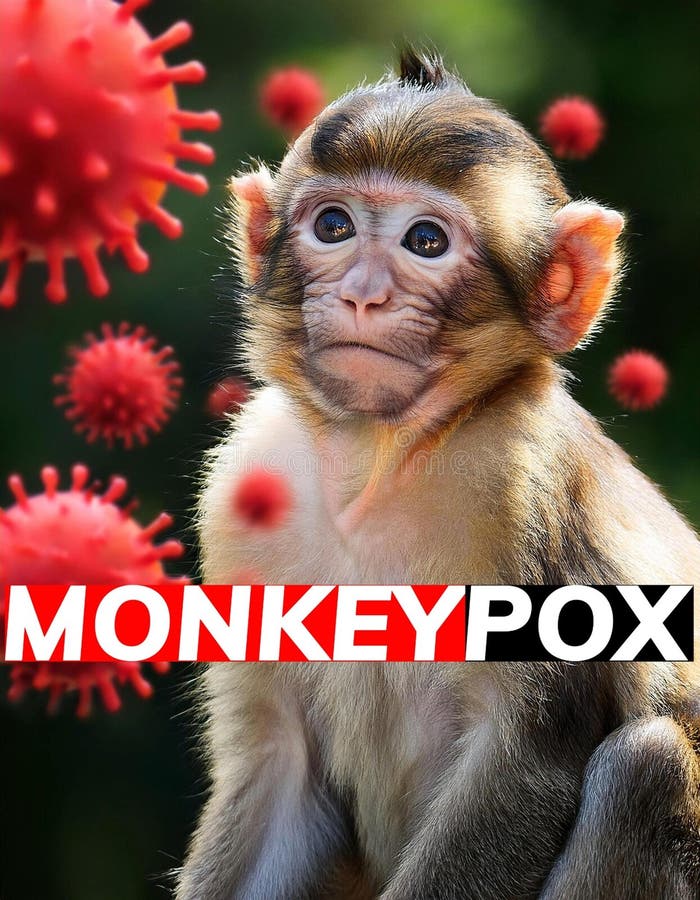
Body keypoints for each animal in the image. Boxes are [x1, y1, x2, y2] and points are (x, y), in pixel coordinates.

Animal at [177, 49, 700, 900]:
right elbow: (278, 770)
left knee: (647, 767)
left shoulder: (523, 492)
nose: (363, 295)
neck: (379, 462)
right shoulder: (245, 492)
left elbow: (523, 769)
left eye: (426, 240)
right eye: (332, 225)